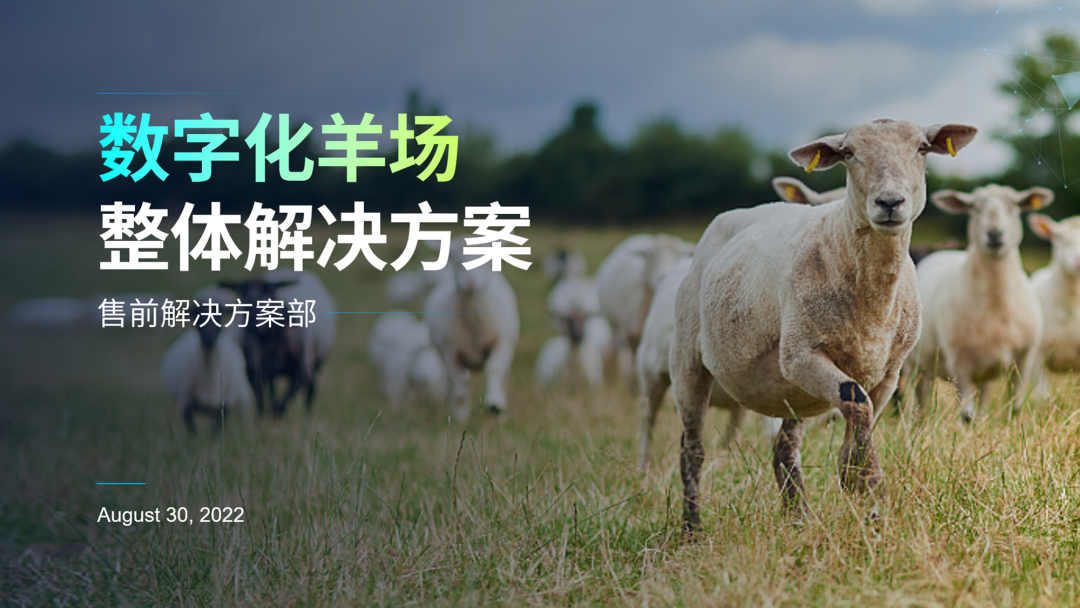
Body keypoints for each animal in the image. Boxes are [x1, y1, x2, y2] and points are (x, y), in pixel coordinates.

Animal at [160, 301, 254, 435]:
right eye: (198, 317)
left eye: (219, 317)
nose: (209, 336)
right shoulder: (185, 403)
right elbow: (192, 431)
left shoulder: (225, 404)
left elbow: (216, 431)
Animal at [425, 238, 520, 422]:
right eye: (453, 257)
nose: (470, 281)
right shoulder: (450, 353)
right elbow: (460, 385)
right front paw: (460, 419)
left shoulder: (502, 343)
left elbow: (493, 370)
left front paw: (495, 405)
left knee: (502, 379)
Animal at [670, 119, 976, 536]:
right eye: (848, 153)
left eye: (922, 148)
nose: (889, 202)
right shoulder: (801, 355)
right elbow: (855, 402)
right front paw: (873, 494)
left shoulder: (889, 373)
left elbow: (859, 423)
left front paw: (858, 484)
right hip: (689, 360)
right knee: (692, 451)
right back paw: (692, 530)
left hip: (792, 390)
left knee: (783, 450)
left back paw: (800, 520)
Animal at [905, 185, 1051, 422]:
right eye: (974, 208)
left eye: (1013, 207)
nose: (994, 234)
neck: (997, 306)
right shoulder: (959, 363)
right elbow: (966, 415)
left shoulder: (1023, 360)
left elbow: (1015, 407)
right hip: (917, 363)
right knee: (921, 398)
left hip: (984, 370)